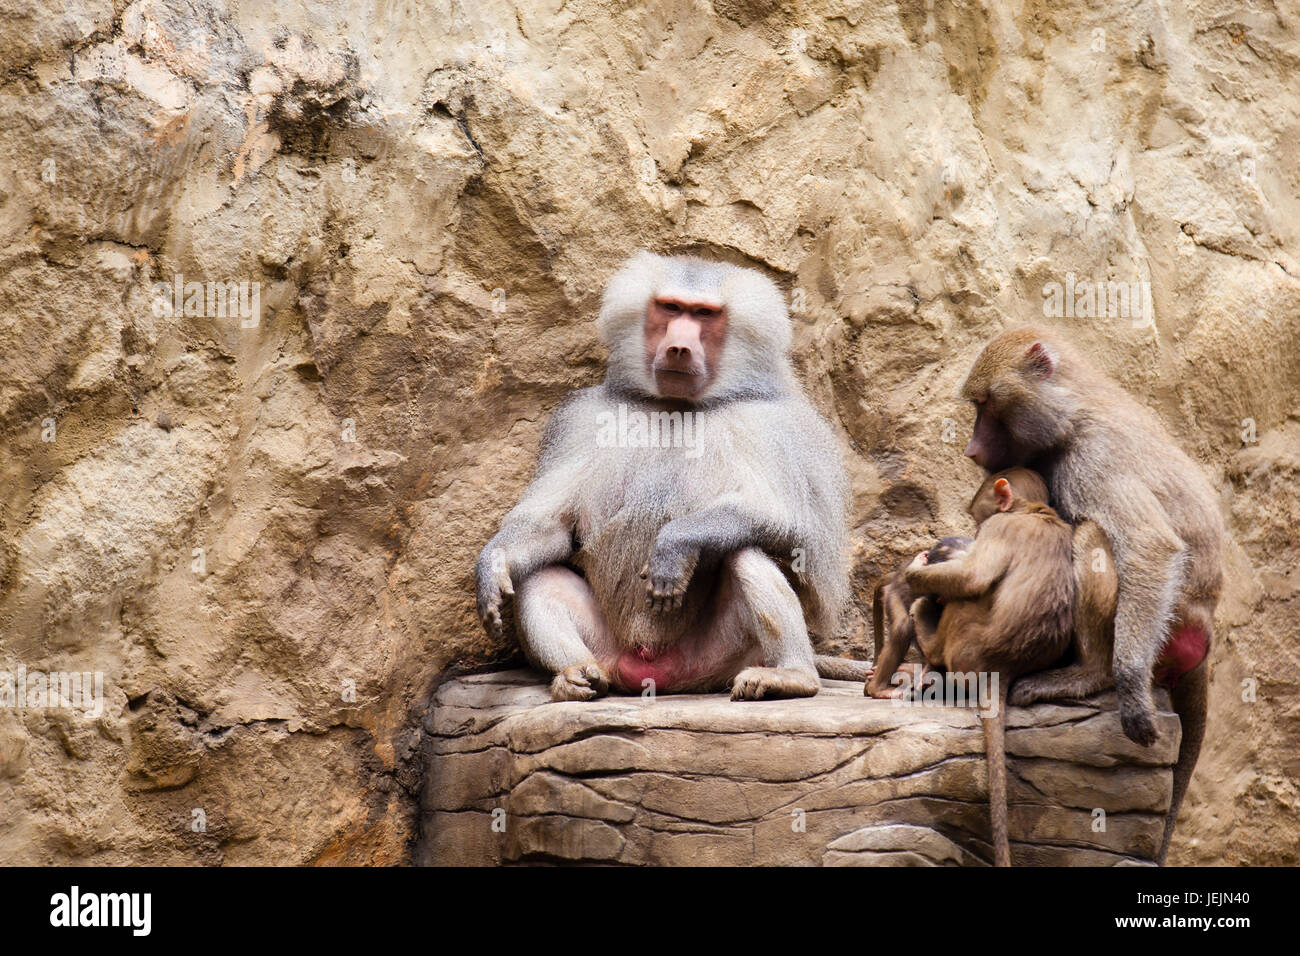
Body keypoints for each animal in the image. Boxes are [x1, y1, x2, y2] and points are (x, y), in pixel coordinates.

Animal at [475, 251, 865, 704]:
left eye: (704, 314)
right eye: (671, 308)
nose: (678, 347)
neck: (676, 407)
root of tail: (655, 674)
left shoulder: (771, 427)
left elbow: (790, 525)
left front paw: (672, 547)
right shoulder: (580, 422)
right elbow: (552, 528)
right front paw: (491, 570)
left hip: (718, 658)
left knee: (745, 552)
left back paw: (791, 676)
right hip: (611, 649)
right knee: (541, 577)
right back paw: (575, 677)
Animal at [904, 476, 1075, 866]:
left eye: (980, 521)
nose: (974, 532)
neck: (1034, 511)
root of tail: (1001, 667)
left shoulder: (1002, 526)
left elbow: (972, 578)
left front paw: (915, 571)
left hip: (965, 642)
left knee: (965, 595)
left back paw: (927, 632)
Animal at [958, 327, 1224, 863]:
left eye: (987, 404)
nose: (973, 450)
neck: (1070, 412)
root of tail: (1205, 623)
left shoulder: (1096, 455)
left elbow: (1148, 543)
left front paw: (1130, 689)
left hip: (1171, 623)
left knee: (1093, 536)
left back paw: (1091, 675)